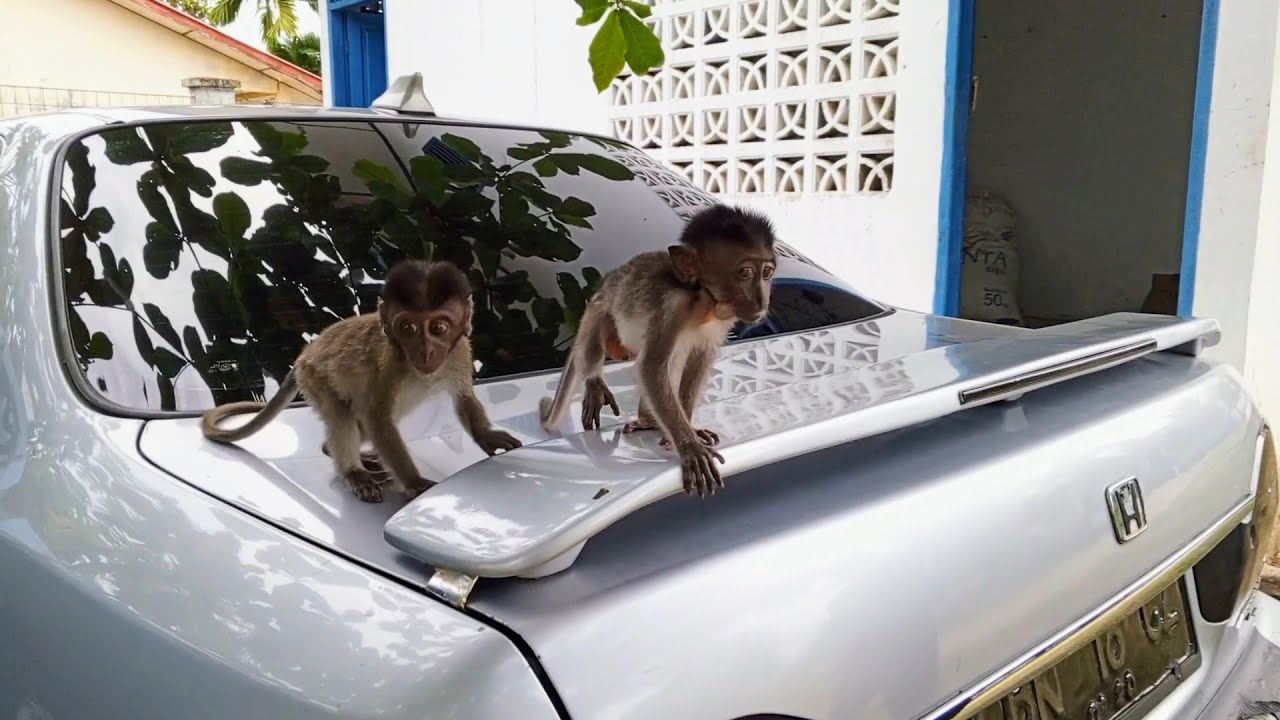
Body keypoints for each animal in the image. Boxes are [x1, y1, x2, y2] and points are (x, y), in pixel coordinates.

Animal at [201, 260, 522, 503]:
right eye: (408, 328)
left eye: (439, 328)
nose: (425, 350)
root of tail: (306, 353)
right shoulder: (390, 364)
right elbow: (377, 416)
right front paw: (414, 482)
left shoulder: (460, 353)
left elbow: (463, 396)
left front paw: (487, 436)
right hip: (314, 379)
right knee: (345, 416)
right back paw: (354, 472)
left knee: (362, 423)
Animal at [539, 204, 778, 498]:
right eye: (745, 273)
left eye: (767, 273)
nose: (762, 299)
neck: (701, 301)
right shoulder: (672, 306)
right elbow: (652, 366)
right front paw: (690, 447)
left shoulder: (722, 319)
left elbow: (699, 358)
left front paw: (689, 431)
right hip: (597, 311)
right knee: (599, 338)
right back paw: (595, 383)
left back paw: (648, 420)